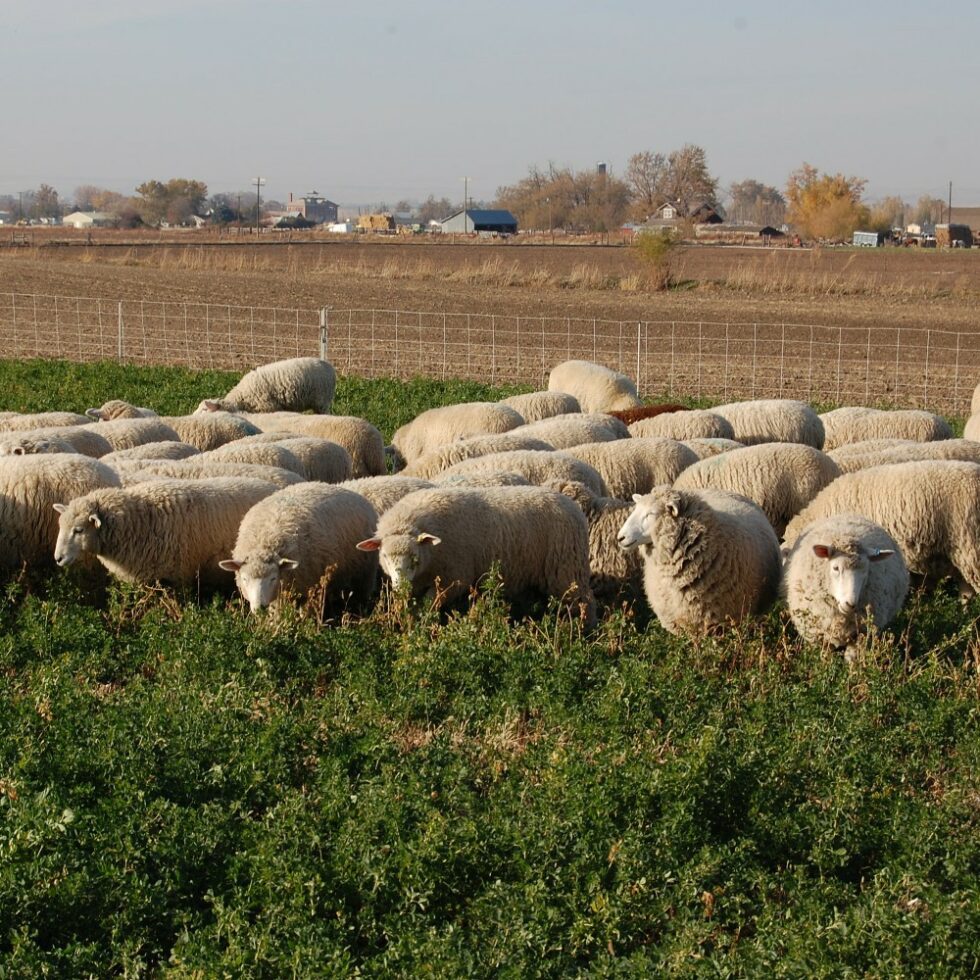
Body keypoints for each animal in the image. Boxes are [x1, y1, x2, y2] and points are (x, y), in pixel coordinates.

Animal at [220, 484, 378, 611]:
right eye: (245, 579)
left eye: (273, 578)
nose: (260, 608)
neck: (265, 542)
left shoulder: (309, 588)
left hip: (364, 574)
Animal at [355, 485, 595, 624]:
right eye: (385, 557)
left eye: (414, 557)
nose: (401, 586)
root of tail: (572, 506)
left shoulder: (453, 578)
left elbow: (429, 605)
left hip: (567, 570)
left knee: (586, 603)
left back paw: (584, 632)